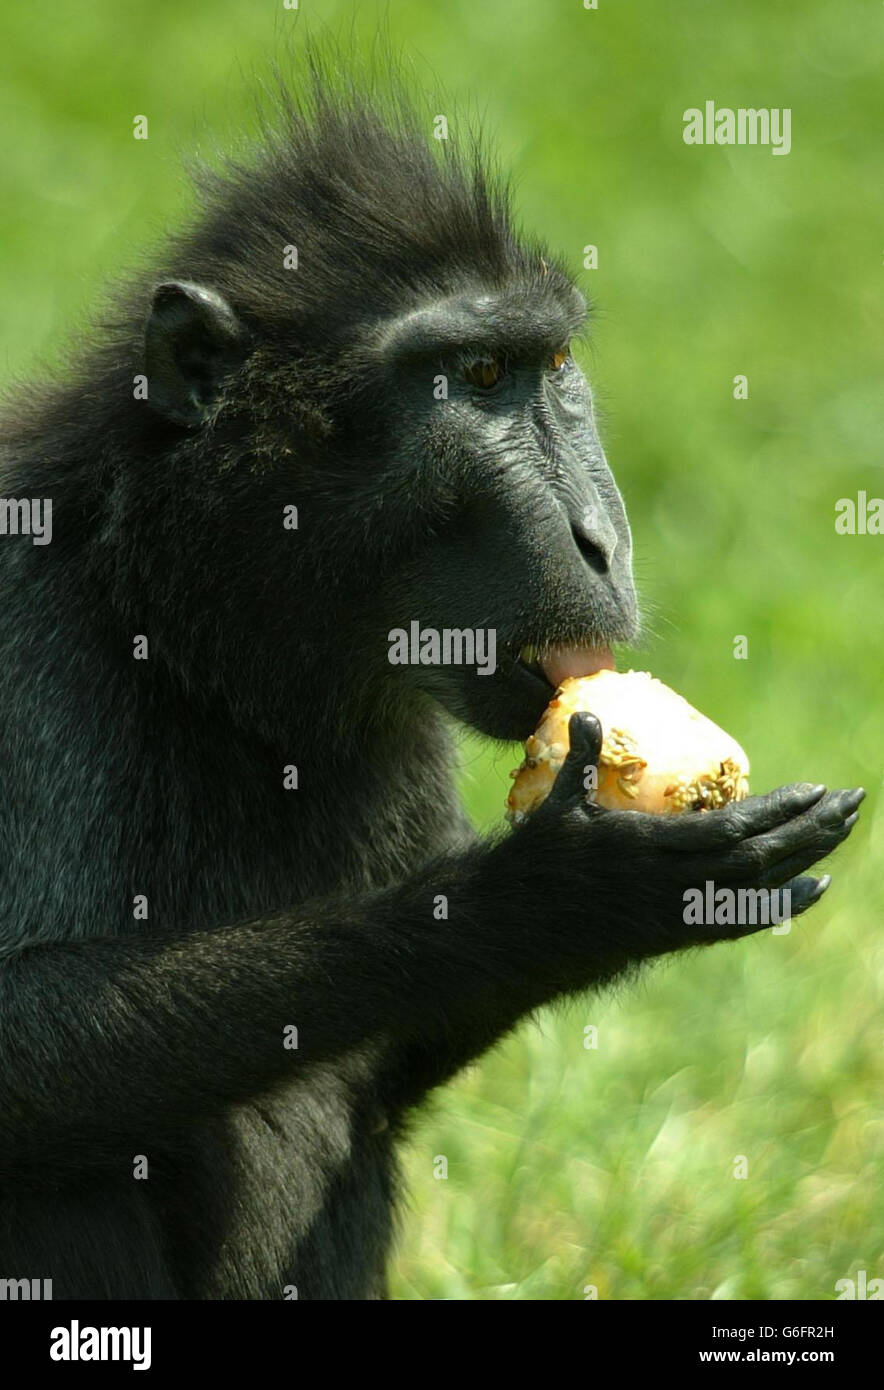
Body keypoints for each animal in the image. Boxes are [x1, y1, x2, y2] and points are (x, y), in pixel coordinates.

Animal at [0, 69, 863, 1300]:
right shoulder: (25, 624)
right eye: (478, 379)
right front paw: (555, 896)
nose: (599, 539)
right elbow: (21, 1044)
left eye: (553, 371)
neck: (173, 611)